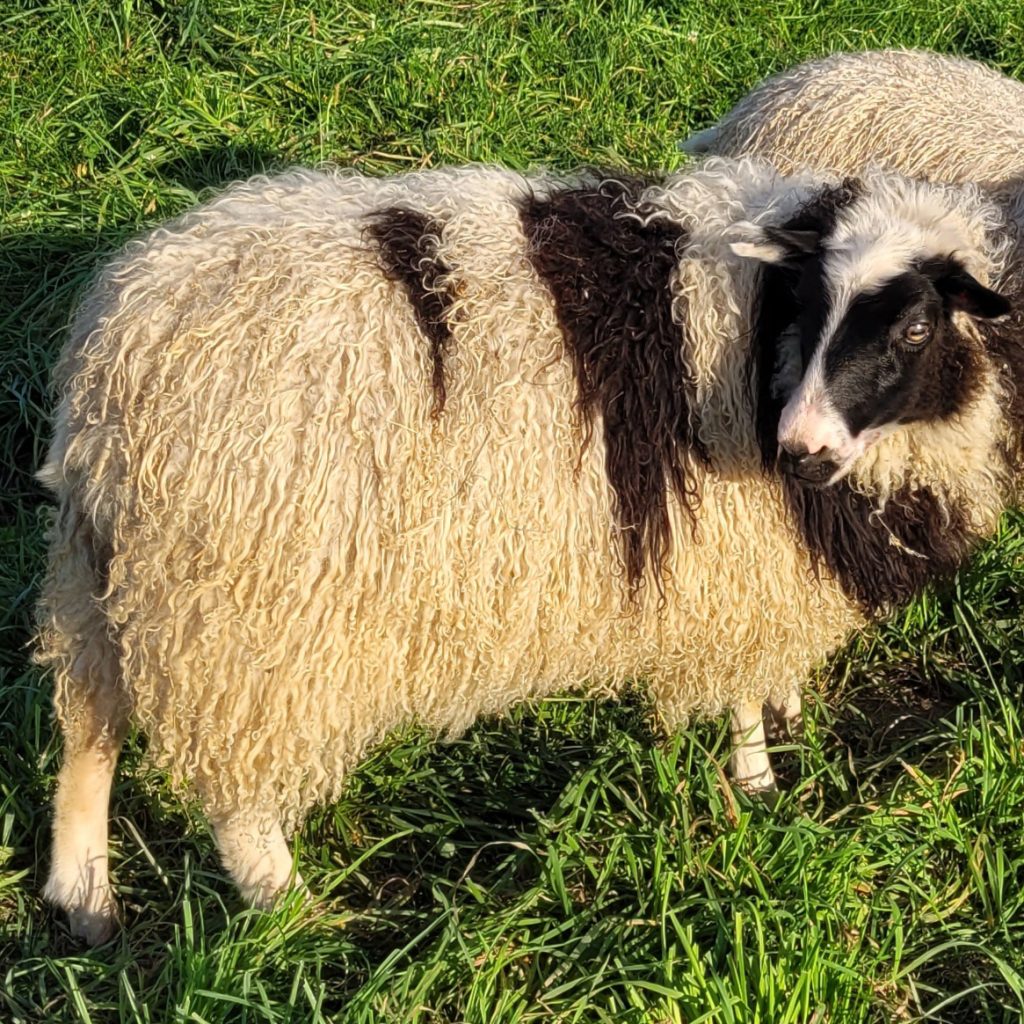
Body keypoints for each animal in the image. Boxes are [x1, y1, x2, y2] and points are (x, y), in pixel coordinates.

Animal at [35, 158, 1023, 945]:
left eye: (915, 328)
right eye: (809, 312)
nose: (800, 451)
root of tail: (123, 342)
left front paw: (784, 714)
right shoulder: (736, 564)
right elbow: (740, 692)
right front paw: (758, 783)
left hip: (114, 572)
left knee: (88, 726)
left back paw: (85, 900)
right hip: (249, 610)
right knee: (233, 793)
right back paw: (291, 912)